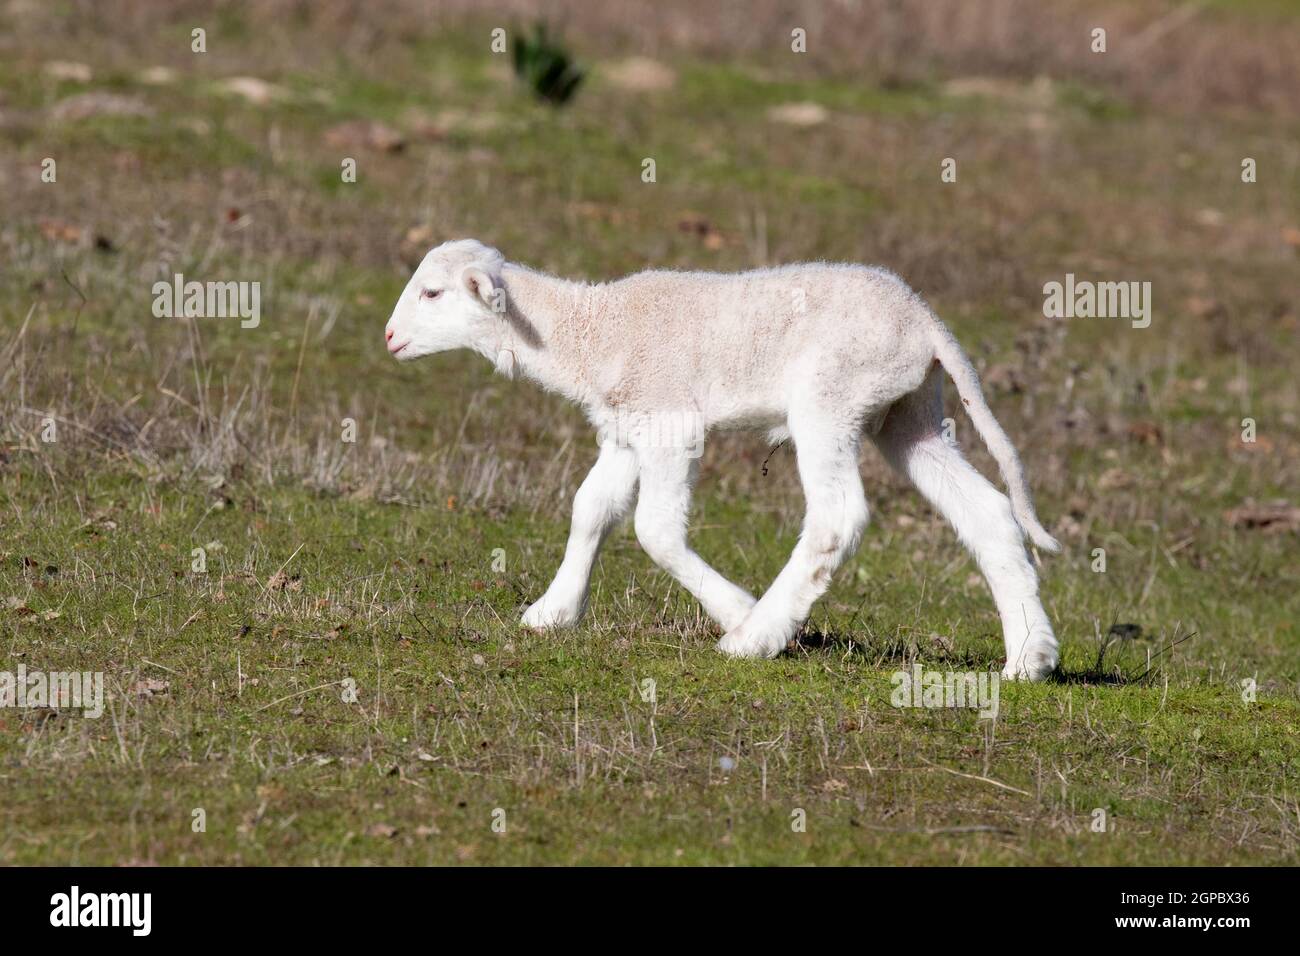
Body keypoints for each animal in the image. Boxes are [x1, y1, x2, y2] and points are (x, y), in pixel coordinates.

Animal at [385, 239, 1061, 680]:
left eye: (432, 291)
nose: (389, 337)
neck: (592, 331)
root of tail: (925, 321)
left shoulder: (670, 420)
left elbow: (654, 530)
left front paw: (736, 609)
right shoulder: (628, 429)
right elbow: (590, 509)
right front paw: (553, 612)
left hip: (830, 397)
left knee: (837, 517)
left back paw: (756, 636)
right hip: (907, 414)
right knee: (988, 513)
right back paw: (1029, 659)